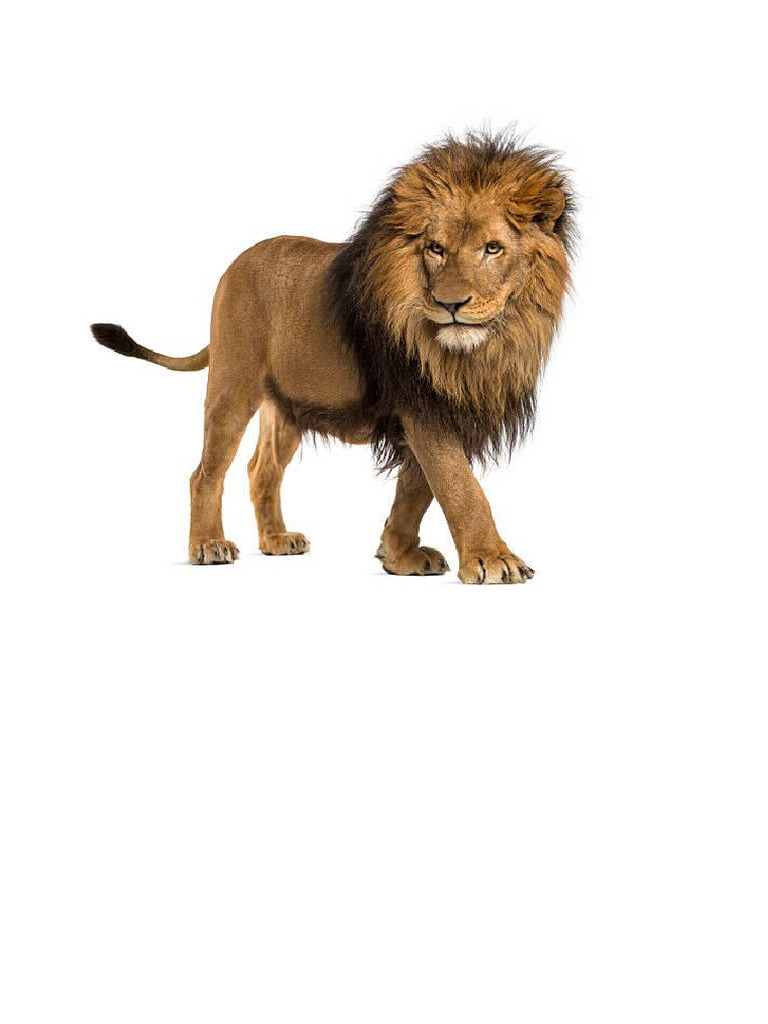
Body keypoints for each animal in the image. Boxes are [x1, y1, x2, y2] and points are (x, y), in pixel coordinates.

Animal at [92, 130, 574, 584]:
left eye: (493, 248)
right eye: (435, 248)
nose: (450, 304)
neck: (481, 349)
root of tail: (235, 264)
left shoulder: (440, 406)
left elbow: (416, 488)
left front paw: (398, 556)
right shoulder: (420, 402)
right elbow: (459, 486)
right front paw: (493, 560)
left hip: (287, 407)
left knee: (261, 470)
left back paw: (276, 540)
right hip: (232, 386)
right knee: (206, 472)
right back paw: (208, 545)